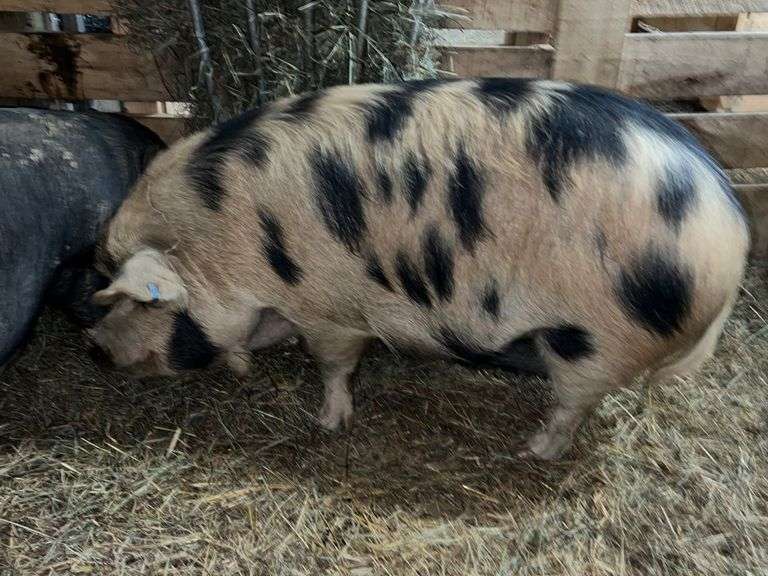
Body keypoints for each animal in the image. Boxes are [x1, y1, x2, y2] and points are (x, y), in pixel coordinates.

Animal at [87, 79, 749, 459]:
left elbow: (332, 365)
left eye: (143, 299)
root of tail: (733, 225)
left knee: (573, 405)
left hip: (596, 339)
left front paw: (328, 424)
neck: (225, 239)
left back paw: (532, 450)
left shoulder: (329, 308)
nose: (93, 344)